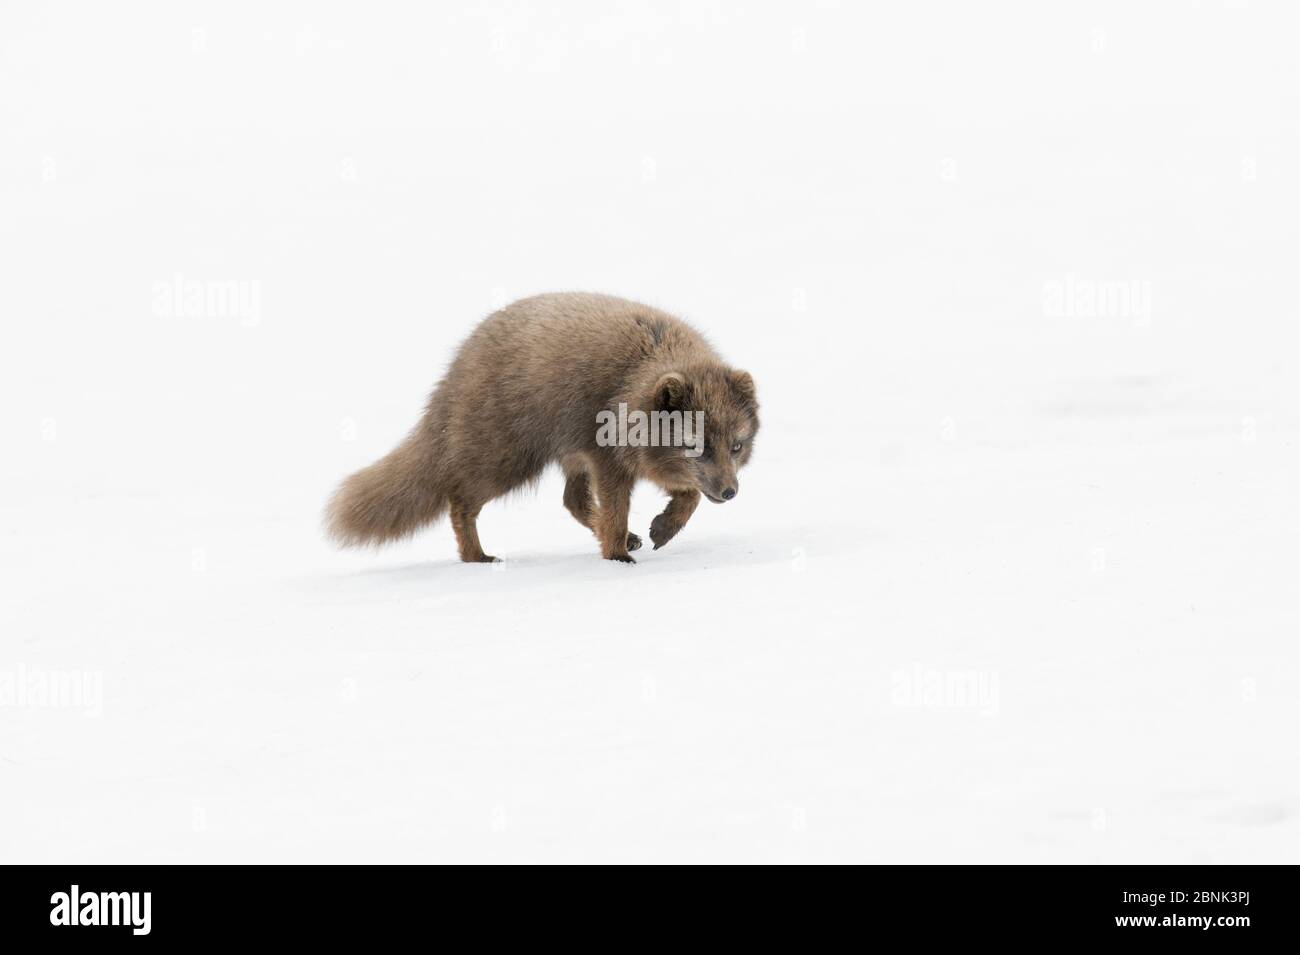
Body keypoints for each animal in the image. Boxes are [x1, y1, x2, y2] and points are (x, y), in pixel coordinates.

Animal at [325, 292, 759, 563]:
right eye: (696, 445)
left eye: (736, 447)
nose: (731, 492)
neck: (638, 371)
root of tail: (454, 372)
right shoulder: (610, 459)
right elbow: (618, 508)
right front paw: (617, 556)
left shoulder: (639, 461)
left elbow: (691, 496)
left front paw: (662, 529)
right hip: (506, 459)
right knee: (460, 501)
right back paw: (476, 557)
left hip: (564, 455)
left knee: (572, 499)